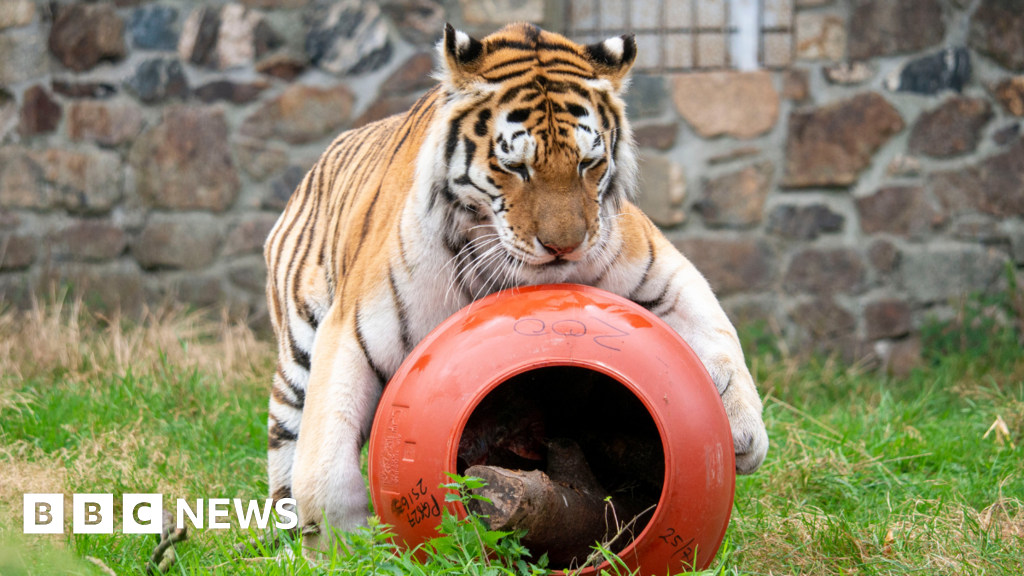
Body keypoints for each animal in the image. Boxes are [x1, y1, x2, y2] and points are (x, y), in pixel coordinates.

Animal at [263, 22, 768, 552]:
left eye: (588, 163)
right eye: (515, 167)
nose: (564, 246)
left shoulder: (652, 260)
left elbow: (716, 329)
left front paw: (744, 436)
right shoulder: (354, 330)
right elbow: (325, 452)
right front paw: (342, 544)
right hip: (297, 347)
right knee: (287, 434)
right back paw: (283, 541)